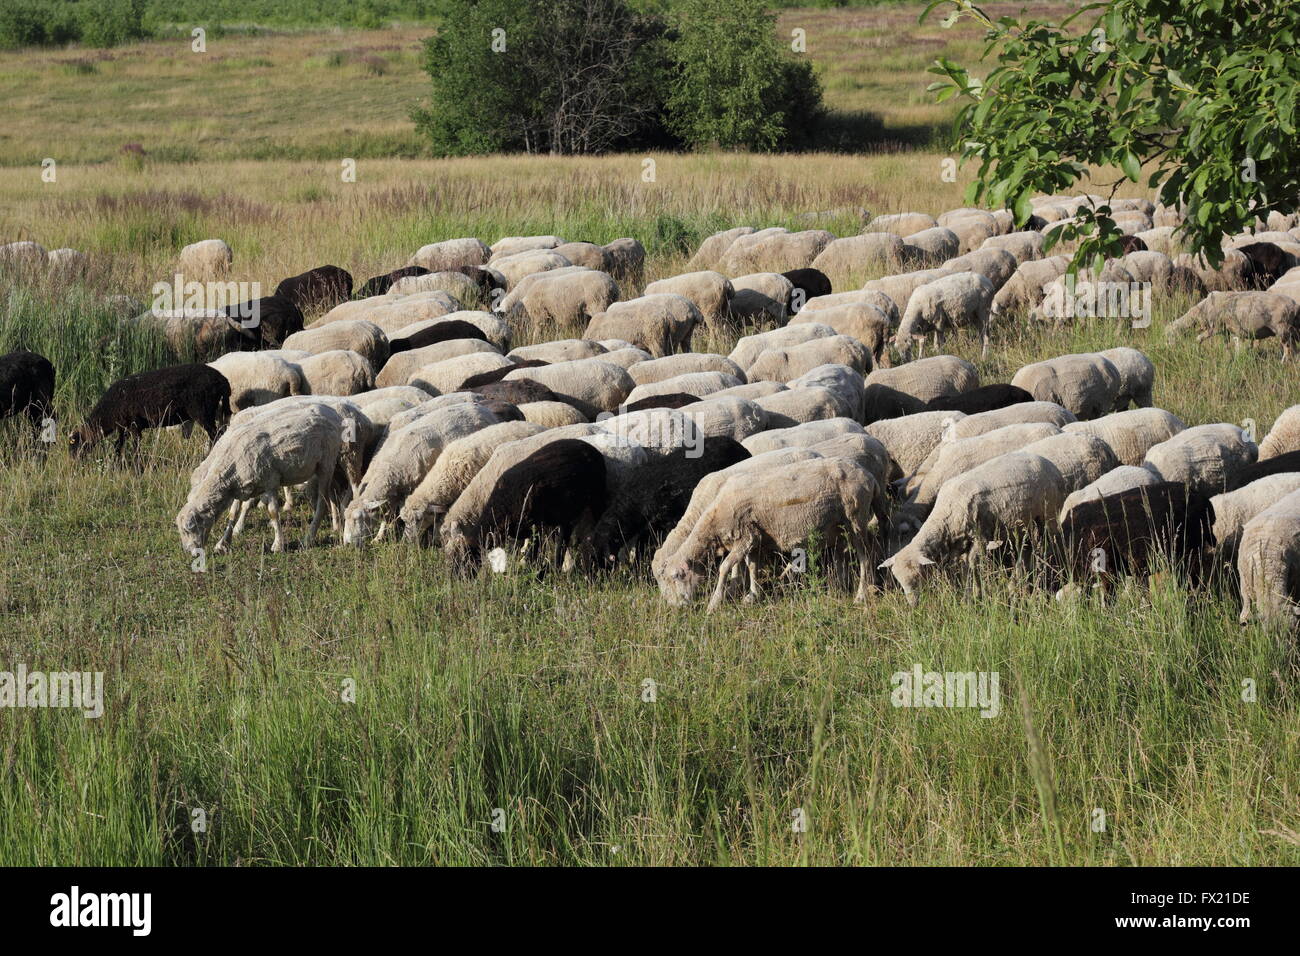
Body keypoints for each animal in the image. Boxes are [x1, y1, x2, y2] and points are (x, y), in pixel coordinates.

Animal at [71, 363, 231, 458]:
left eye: (74, 443)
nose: (74, 463)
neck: (108, 412)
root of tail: (222, 380)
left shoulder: (134, 426)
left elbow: (136, 448)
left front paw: (137, 470)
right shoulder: (124, 427)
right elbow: (118, 445)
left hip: (203, 411)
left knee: (216, 435)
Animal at [176, 404, 342, 555]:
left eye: (189, 529)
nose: (191, 552)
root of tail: (330, 412)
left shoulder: (270, 482)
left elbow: (273, 512)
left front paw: (278, 545)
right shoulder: (245, 486)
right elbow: (233, 512)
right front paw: (223, 543)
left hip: (326, 463)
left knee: (322, 503)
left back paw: (308, 538)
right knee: (332, 494)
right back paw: (335, 524)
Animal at [342, 402, 501, 545]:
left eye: (358, 519)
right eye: (345, 518)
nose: (347, 543)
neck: (387, 466)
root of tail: (482, 408)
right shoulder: (393, 494)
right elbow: (387, 515)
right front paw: (379, 537)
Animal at [880, 451, 1068, 605]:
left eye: (917, 577)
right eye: (898, 579)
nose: (913, 604)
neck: (944, 517)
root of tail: (1048, 462)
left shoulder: (980, 538)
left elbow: (974, 565)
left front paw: (974, 595)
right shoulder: (959, 543)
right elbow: (966, 567)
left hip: (1050, 511)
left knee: (1052, 540)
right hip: (1023, 520)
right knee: (1028, 546)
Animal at [1167, 291, 1300, 358]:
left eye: (1170, 336)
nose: (1168, 351)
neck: (1203, 309)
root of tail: (1295, 305)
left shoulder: (1214, 328)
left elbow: (1198, 338)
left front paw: (1197, 351)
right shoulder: (1226, 330)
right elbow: (1227, 345)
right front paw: (1228, 358)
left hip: (1282, 329)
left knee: (1288, 350)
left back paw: (1282, 364)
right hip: (1291, 330)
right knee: (1295, 350)